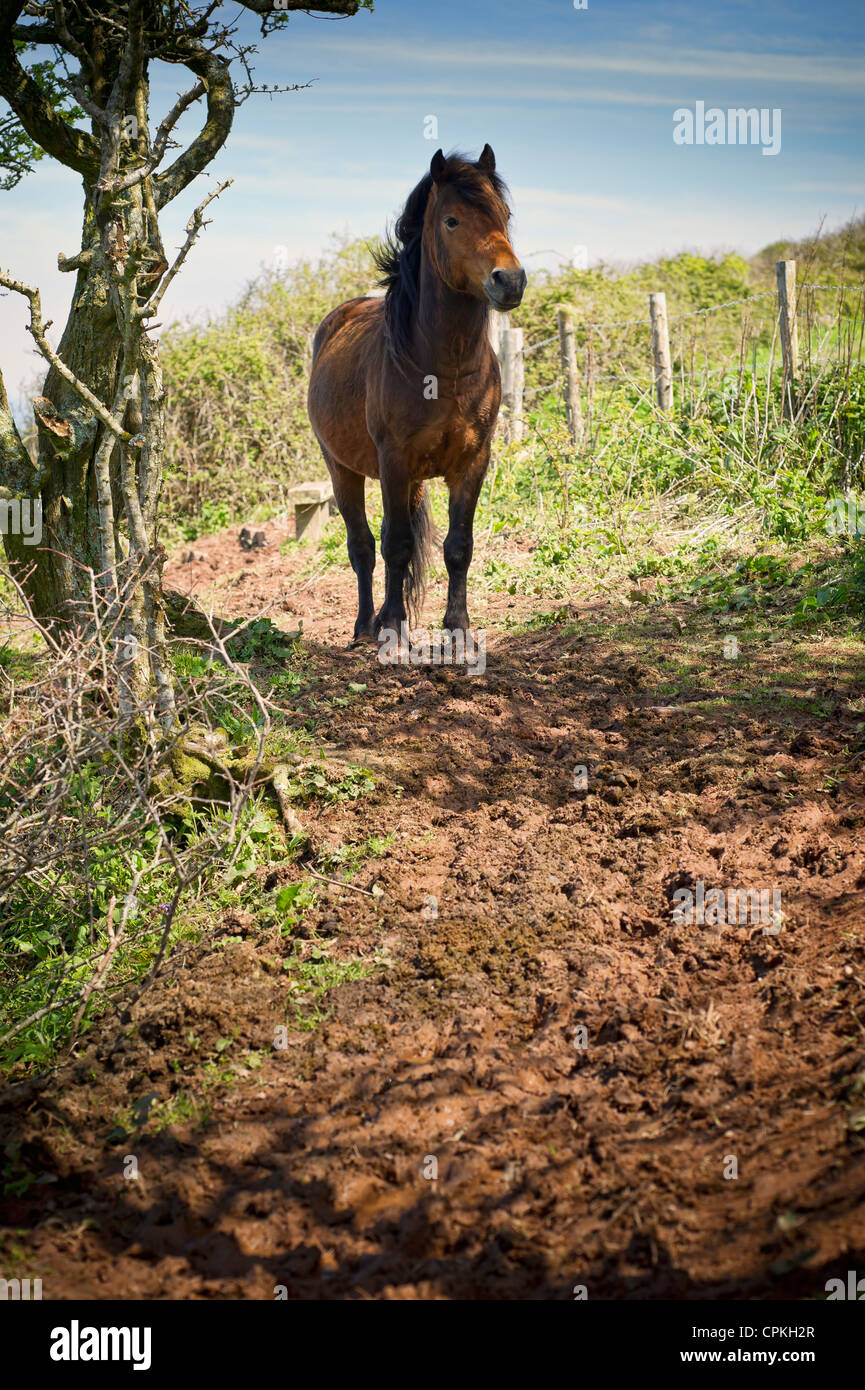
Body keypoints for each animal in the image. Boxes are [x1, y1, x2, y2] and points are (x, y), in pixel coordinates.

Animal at [306, 144, 526, 645]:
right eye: (452, 221)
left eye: (503, 214)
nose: (510, 280)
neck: (442, 370)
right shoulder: (394, 460)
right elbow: (397, 545)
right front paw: (393, 627)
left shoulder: (472, 461)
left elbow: (458, 545)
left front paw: (458, 627)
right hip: (343, 470)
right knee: (364, 546)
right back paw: (367, 625)